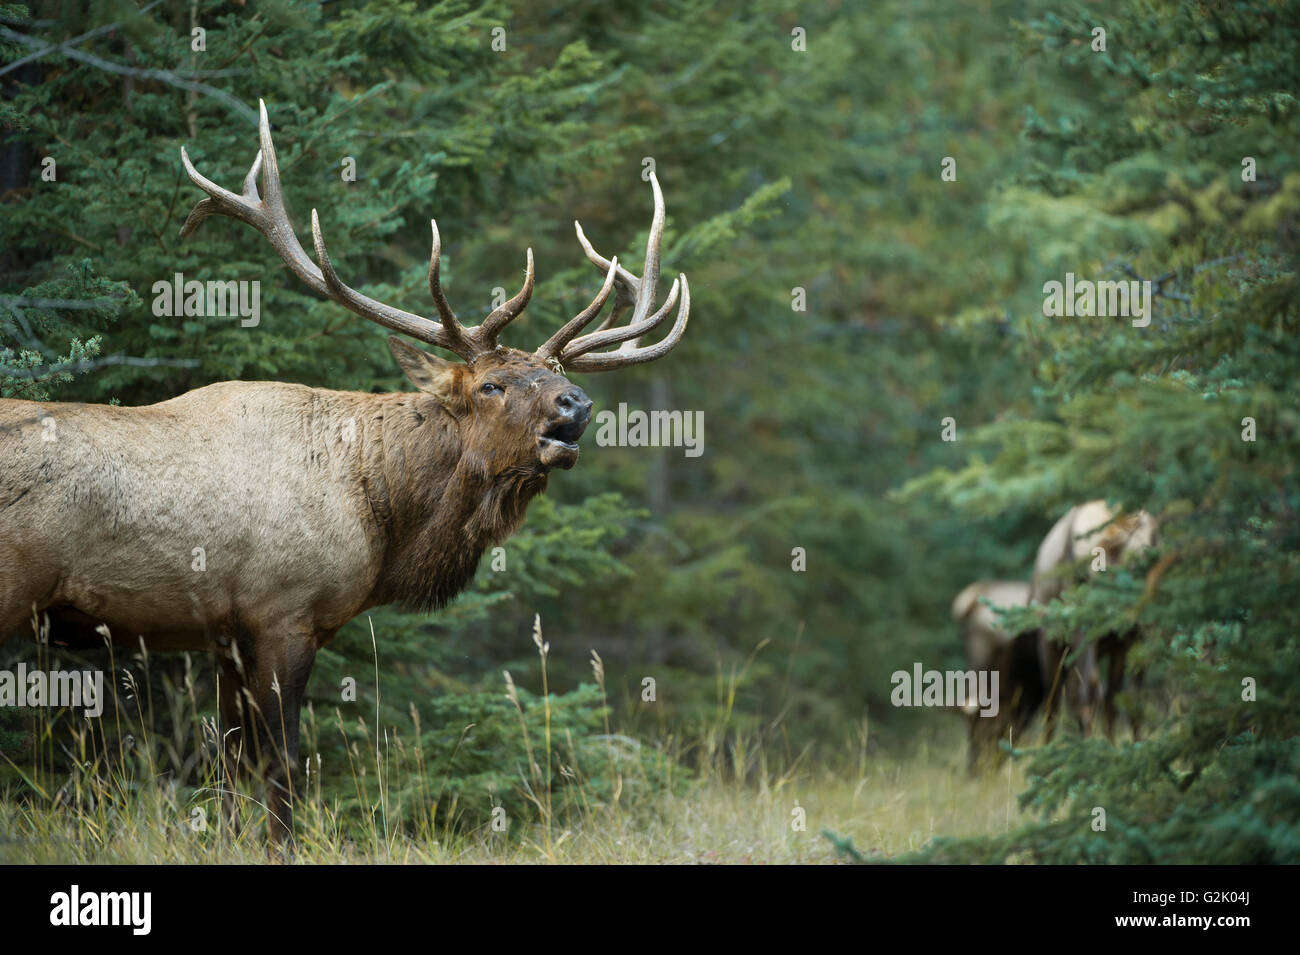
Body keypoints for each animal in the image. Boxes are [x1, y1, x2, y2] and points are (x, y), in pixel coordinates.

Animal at [0, 101, 693, 844]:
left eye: (555, 377)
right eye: (492, 385)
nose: (577, 405)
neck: (379, 513)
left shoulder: (225, 633)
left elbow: (228, 765)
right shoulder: (283, 612)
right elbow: (281, 764)